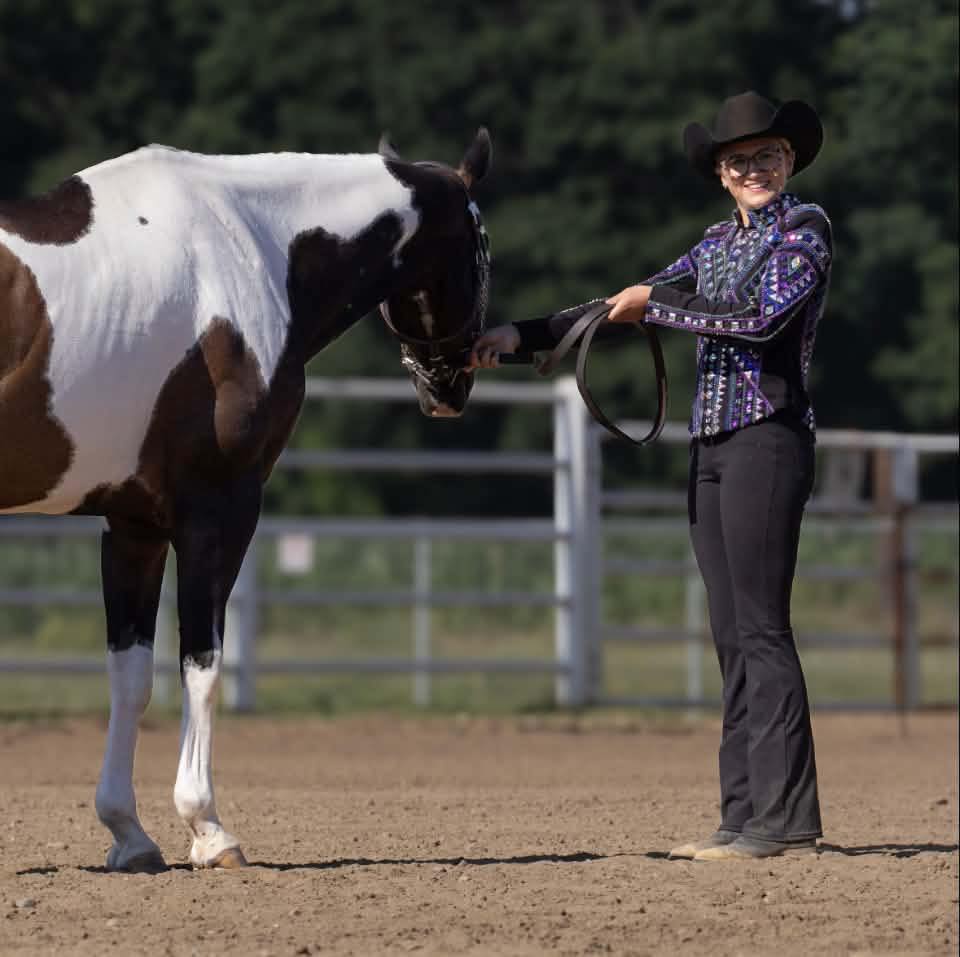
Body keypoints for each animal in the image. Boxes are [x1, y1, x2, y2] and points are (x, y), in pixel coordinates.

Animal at [0, 129, 492, 871]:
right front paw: (208, 828)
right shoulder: (219, 509)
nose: (449, 386)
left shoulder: (135, 524)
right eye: (481, 246)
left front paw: (130, 833)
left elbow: (131, 675)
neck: (247, 241)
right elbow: (202, 665)